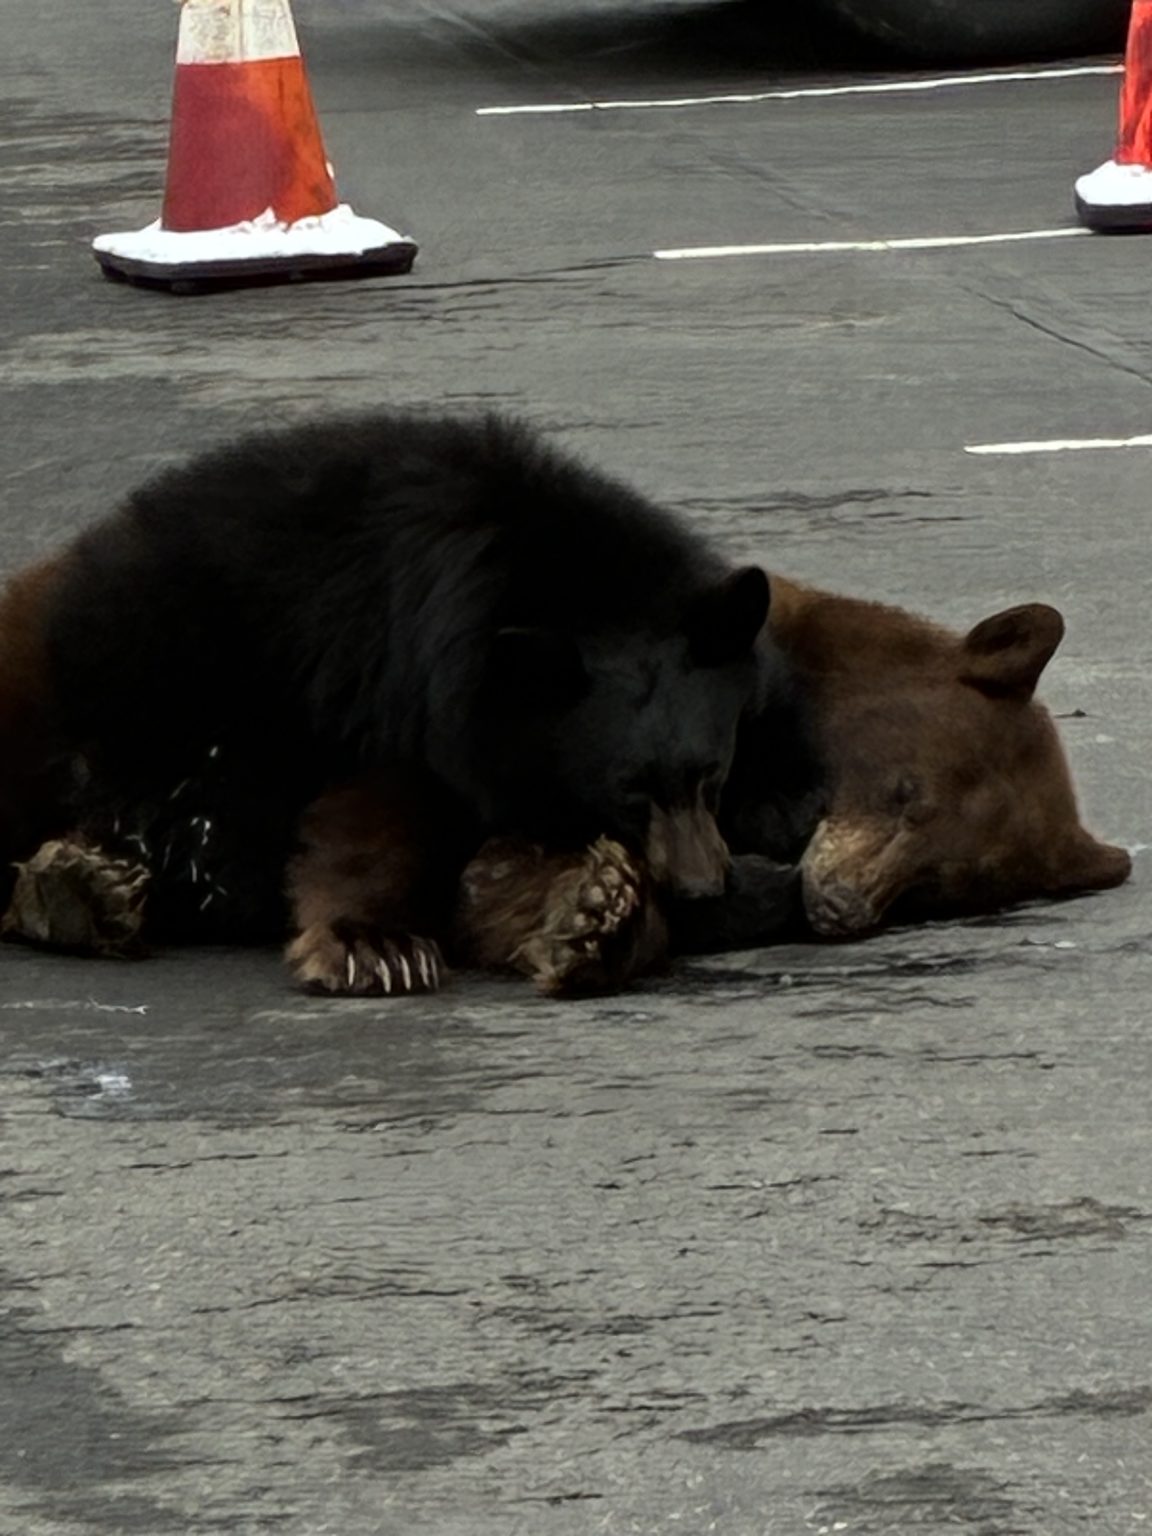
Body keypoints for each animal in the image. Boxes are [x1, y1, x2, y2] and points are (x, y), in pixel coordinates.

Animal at [0, 409, 780, 993]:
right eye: (629, 792)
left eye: (712, 772)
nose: (701, 886)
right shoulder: (382, 673)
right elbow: (378, 813)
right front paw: (375, 946)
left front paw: (593, 911)